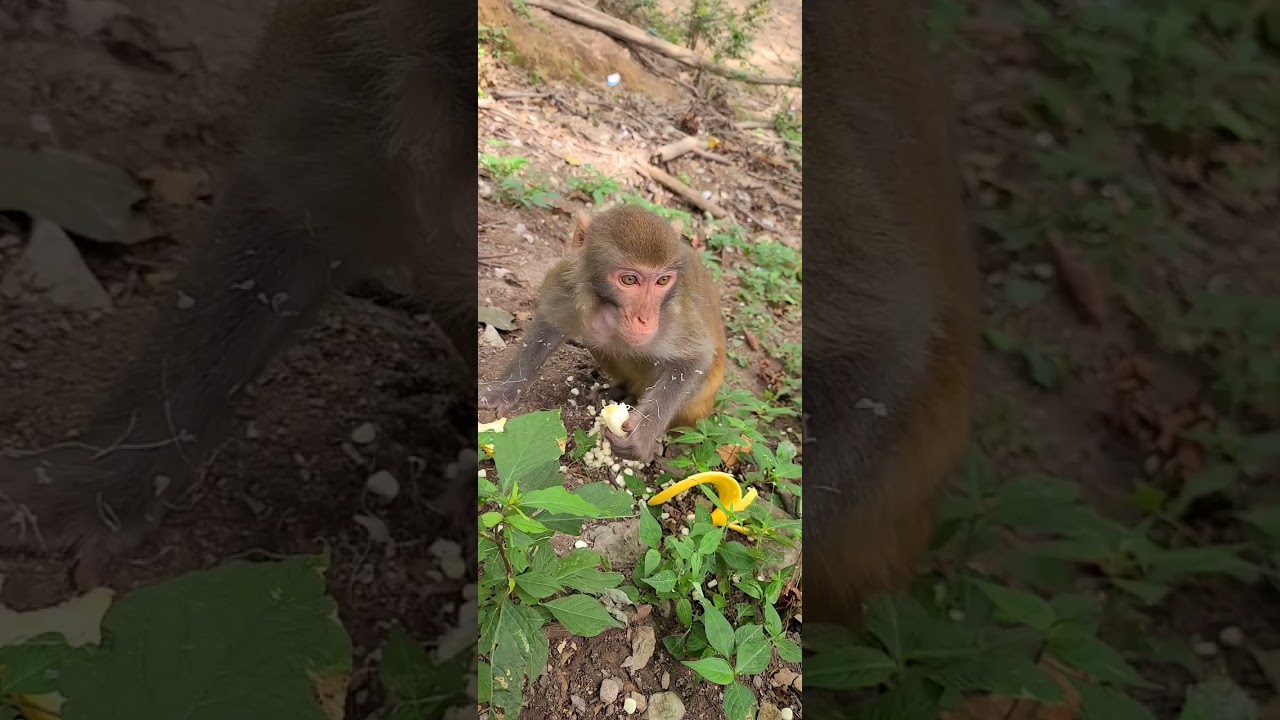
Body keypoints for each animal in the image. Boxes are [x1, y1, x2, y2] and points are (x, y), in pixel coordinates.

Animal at [479, 205, 726, 464]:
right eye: (629, 279)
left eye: (663, 280)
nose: (646, 319)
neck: (607, 309)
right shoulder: (566, 282)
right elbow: (549, 323)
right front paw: (504, 390)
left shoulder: (674, 317)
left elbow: (695, 359)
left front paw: (642, 435)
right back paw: (620, 391)